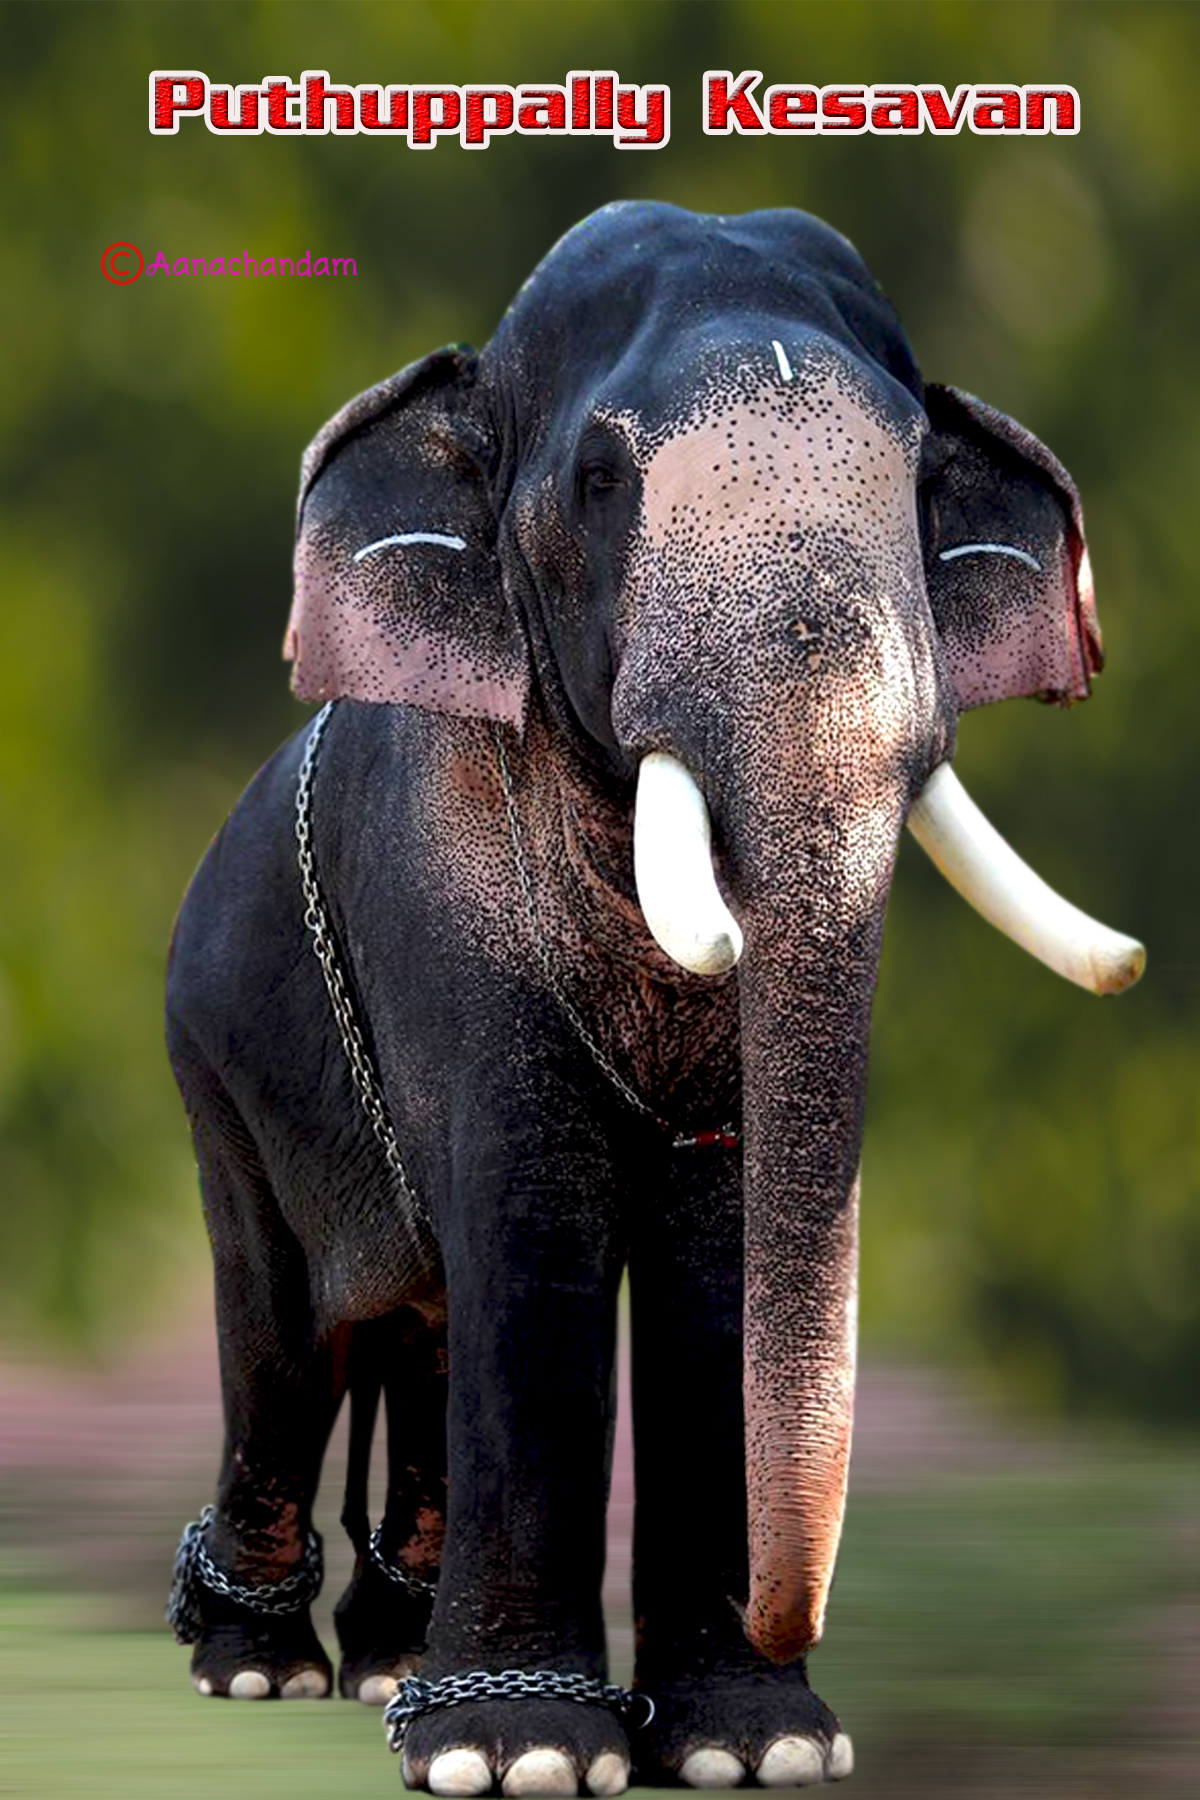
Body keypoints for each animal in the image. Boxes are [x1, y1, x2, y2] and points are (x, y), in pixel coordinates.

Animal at [164, 200, 1143, 1795]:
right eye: (602, 483)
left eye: (921, 482)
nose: (790, 1607)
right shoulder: (443, 907)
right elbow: (532, 1214)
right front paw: (520, 1762)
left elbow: (712, 1237)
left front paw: (755, 1751)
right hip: (213, 1069)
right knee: (288, 1333)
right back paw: (260, 1673)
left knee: (421, 1335)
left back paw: (387, 1663)